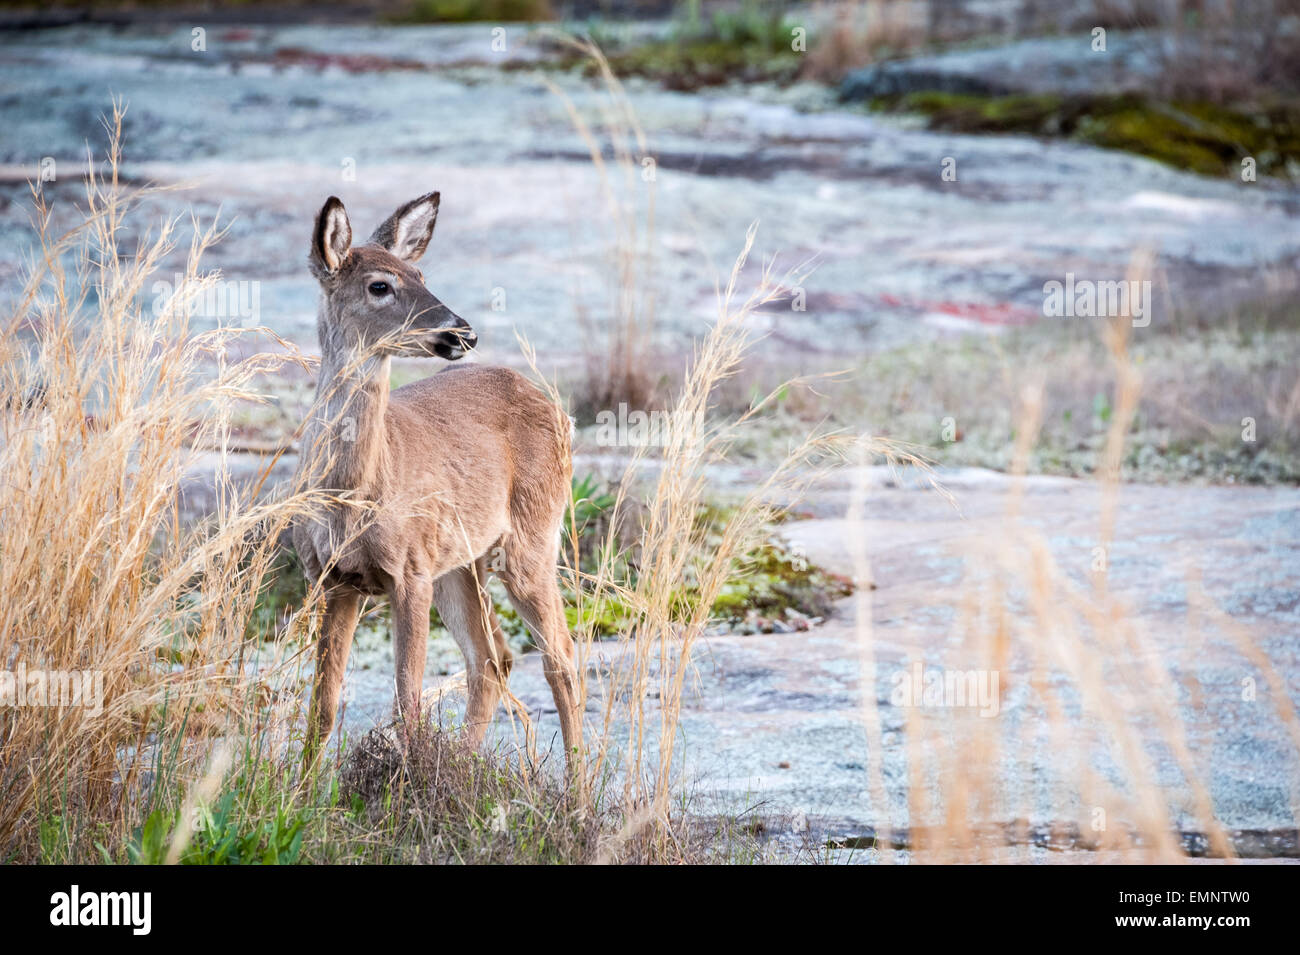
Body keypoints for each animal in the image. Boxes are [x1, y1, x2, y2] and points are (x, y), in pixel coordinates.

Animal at [293, 192, 582, 770]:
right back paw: (468, 766)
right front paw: (299, 789)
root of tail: (556, 409)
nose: (462, 332)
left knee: (560, 657)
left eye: (422, 273)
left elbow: (406, 698)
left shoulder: (411, 570)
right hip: (462, 561)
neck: (354, 495)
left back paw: (581, 782)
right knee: (492, 659)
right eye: (381, 285)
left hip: (529, 539)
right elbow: (324, 706)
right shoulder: (333, 579)